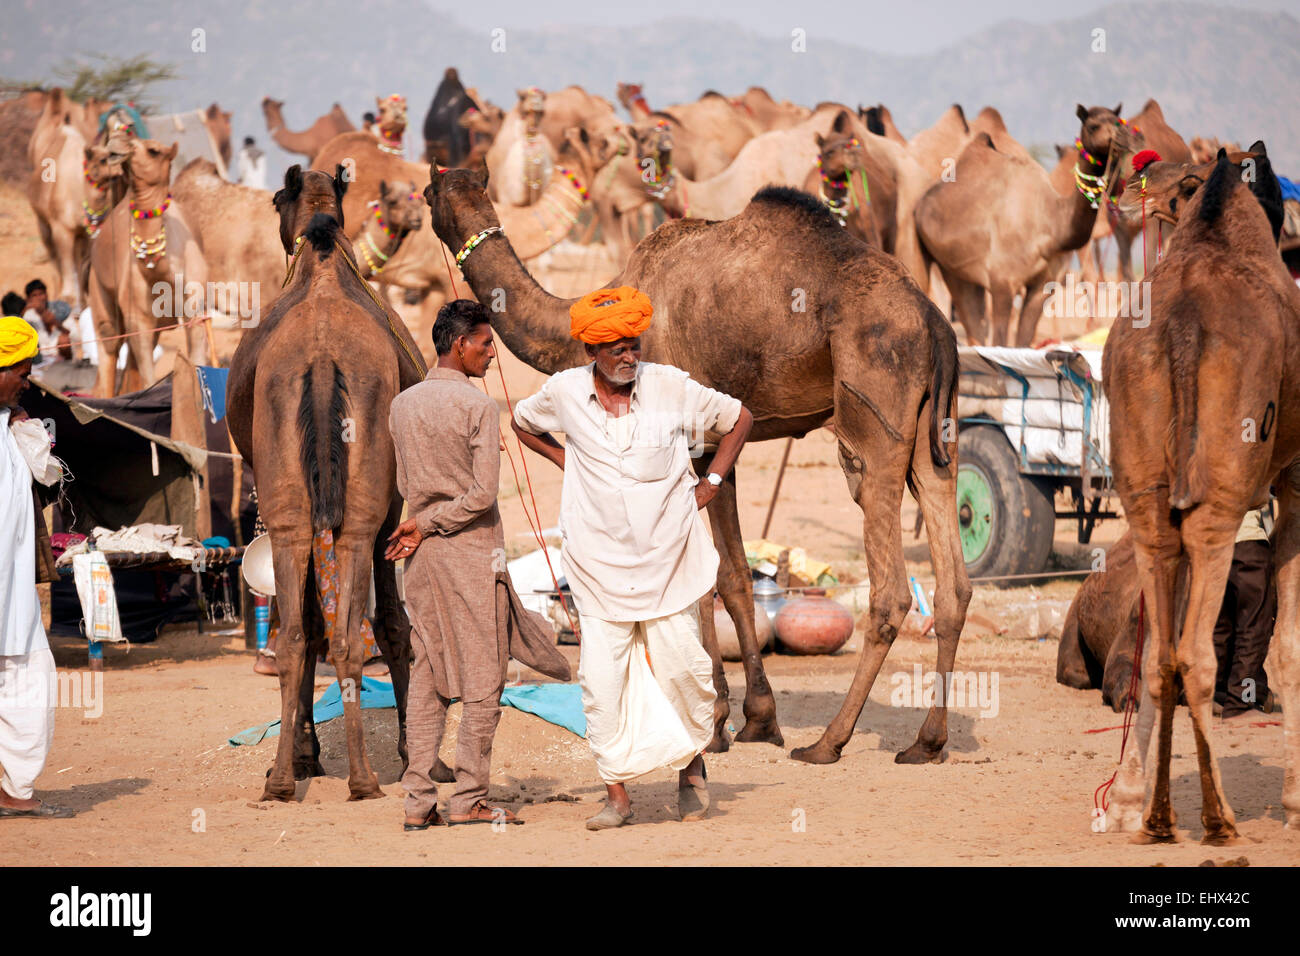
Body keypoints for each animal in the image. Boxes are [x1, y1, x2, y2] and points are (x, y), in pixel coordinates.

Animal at [86, 137, 209, 396]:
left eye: (154, 151)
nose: (118, 142)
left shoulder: (195, 305)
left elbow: (197, 359)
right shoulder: (138, 316)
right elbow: (148, 375)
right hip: (98, 289)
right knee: (109, 344)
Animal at [227, 165, 422, 801]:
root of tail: (319, 359)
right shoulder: (394, 510)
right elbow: (390, 624)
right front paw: (412, 752)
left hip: (292, 507)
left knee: (300, 634)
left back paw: (288, 777)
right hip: (356, 512)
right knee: (336, 631)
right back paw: (356, 775)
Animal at [424, 162, 971, 762]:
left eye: (434, 191)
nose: (424, 192)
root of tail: (934, 320)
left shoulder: (692, 439)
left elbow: (706, 579)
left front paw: (716, 727)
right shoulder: (714, 447)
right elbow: (730, 578)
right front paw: (754, 719)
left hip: (874, 418)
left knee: (890, 585)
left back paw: (829, 740)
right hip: (935, 434)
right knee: (953, 578)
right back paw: (928, 740)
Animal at [915, 105, 1123, 346]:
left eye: (1118, 121)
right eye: (1092, 126)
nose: (1117, 139)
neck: (1051, 224)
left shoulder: (1043, 285)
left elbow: (1022, 341)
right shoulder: (1002, 283)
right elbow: (1000, 342)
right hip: (946, 266)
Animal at [1103, 144, 1298, 841]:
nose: (1132, 185)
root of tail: (1185, 327)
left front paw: (1128, 798)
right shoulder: (1294, 479)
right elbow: (1290, 645)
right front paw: (1295, 801)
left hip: (1148, 495)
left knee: (1161, 654)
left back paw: (1157, 815)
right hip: (1218, 497)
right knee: (1193, 653)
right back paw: (1218, 818)